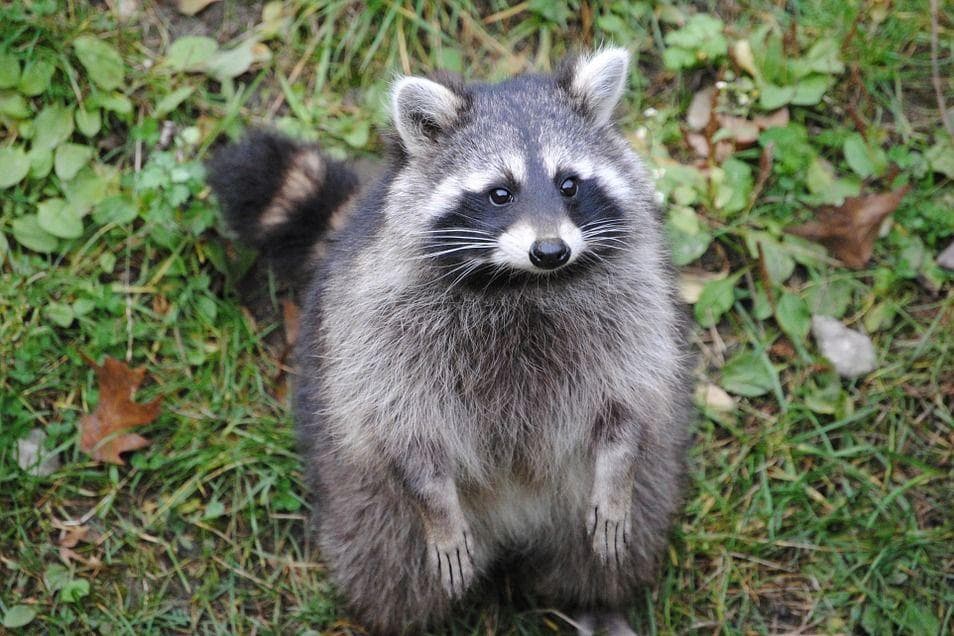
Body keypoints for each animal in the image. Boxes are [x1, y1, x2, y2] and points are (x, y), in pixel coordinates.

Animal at [209, 48, 694, 635]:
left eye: (569, 184)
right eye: (500, 193)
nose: (551, 251)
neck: (520, 283)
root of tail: (514, 527)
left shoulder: (633, 300)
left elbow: (629, 397)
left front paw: (616, 468)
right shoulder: (378, 322)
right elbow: (402, 422)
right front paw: (434, 499)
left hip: (637, 487)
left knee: (613, 543)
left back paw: (597, 598)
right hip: (364, 495)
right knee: (387, 565)